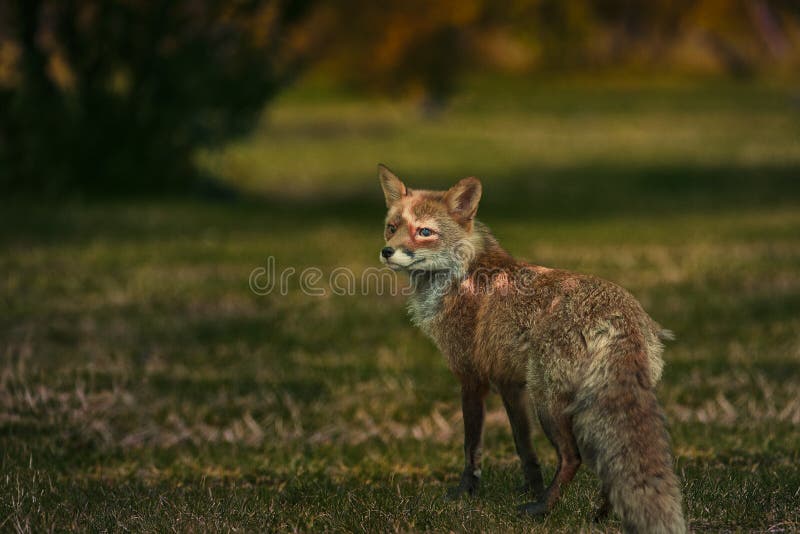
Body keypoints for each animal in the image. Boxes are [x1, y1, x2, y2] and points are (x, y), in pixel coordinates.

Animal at [378, 164, 686, 533]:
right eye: (392, 228)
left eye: (424, 231)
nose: (387, 251)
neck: (460, 274)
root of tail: (620, 313)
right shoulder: (509, 383)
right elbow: (525, 448)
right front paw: (530, 486)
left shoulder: (471, 377)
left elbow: (471, 447)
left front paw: (465, 493)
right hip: (592, 399)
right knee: (612, 457)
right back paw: (599, 515)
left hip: (549, 400)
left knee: (573, 457)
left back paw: (542, 509)